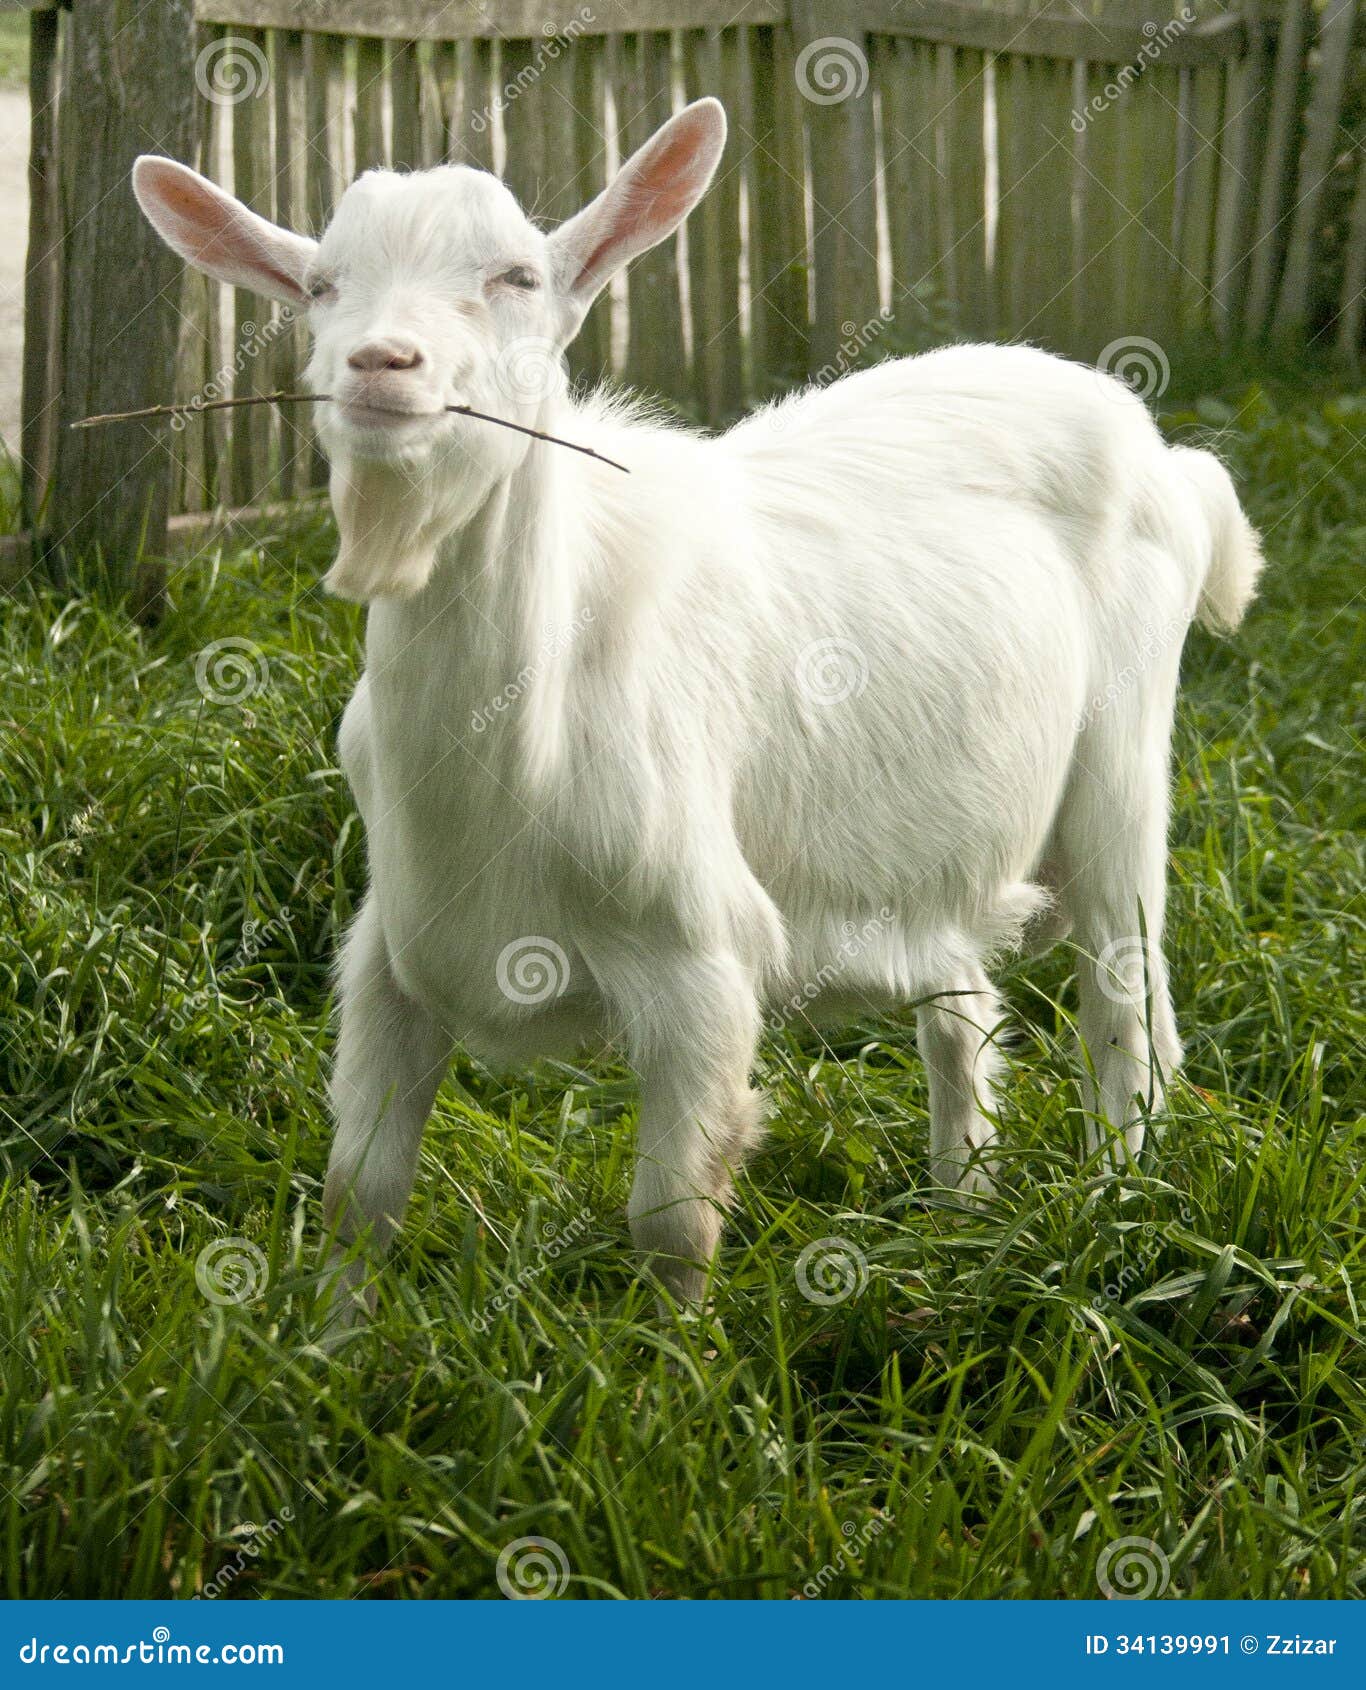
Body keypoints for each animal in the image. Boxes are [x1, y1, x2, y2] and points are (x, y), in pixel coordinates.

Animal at [132, 98, 1262, 1327]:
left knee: (1129, 1004)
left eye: (517, 276)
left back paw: (1112, 1204)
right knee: (961, 1001)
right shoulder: (390, 953)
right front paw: (332, 1350)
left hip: (1121, 769)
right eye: (321, 284)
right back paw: (960, 1212)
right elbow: (359, 1191)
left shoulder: (701, 967)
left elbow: (671, 1222)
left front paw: (674, 1366)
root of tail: (1163, 451)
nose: (381, 363)